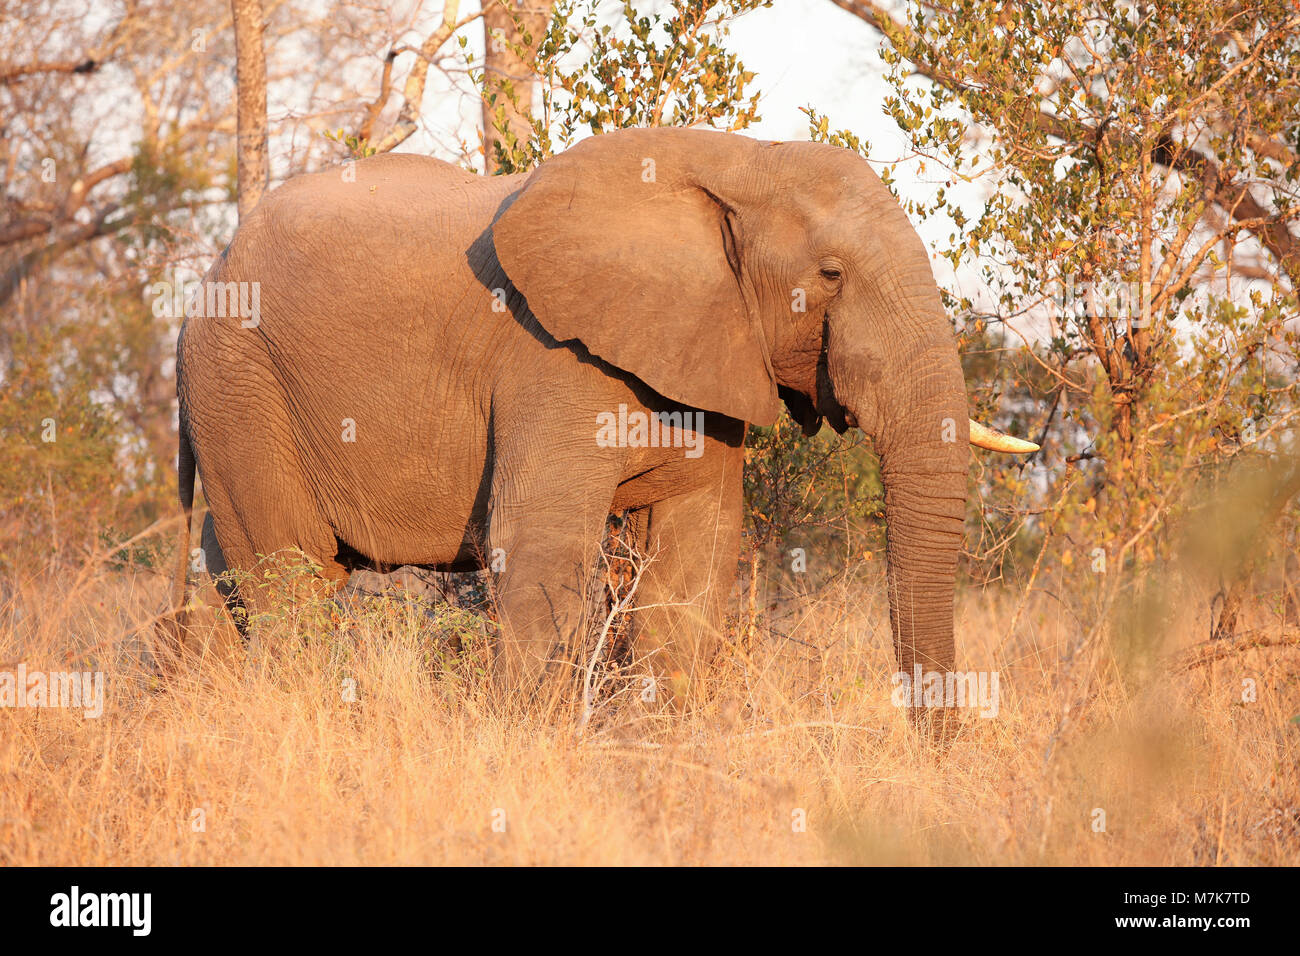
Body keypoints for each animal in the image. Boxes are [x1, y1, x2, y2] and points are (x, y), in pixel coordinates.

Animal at [166, 126, 1035, 709]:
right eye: (830, 274)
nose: (939, 751)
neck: (736, 160)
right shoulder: (554, 358)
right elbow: (540, 543)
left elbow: (693, 558)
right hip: (238, 375)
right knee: (291, 573)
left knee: (232, 574)